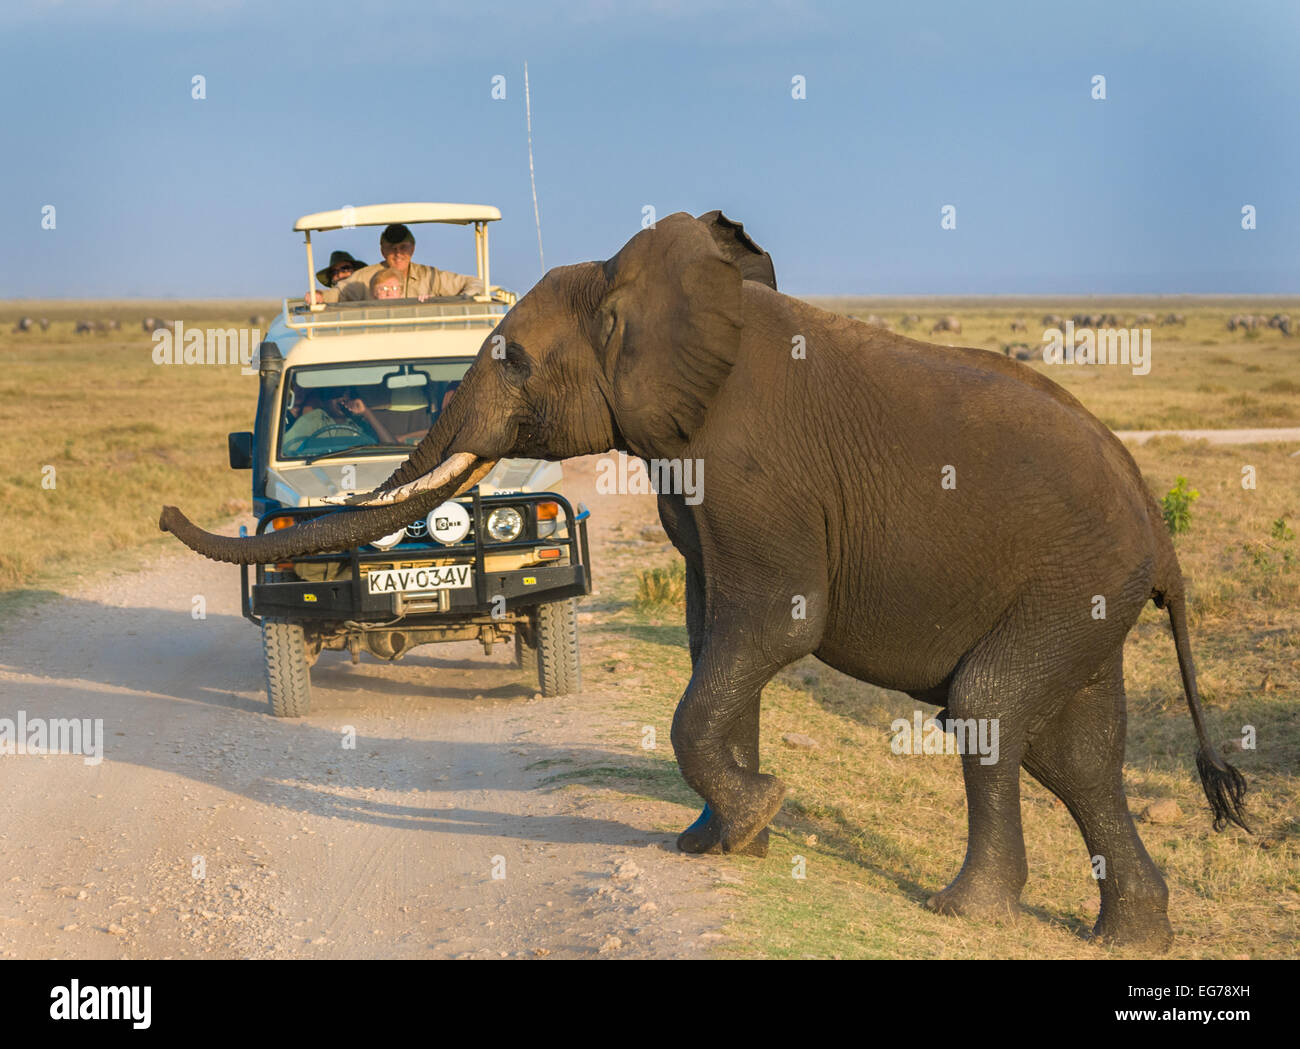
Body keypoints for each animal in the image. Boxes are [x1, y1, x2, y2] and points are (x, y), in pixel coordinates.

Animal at [159, 210, 1249, 949]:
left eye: (510, 360)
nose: (169, 517)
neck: (641, 282)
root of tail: (1160, 531)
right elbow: (716, 636)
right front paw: (722, 843)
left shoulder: (754, 472)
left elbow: (772, 625)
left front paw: (755, 815)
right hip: (1083, 591)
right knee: (1076, 751)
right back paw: (1127, 934)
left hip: (1076, 577)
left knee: (989, 708)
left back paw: (960, 910)